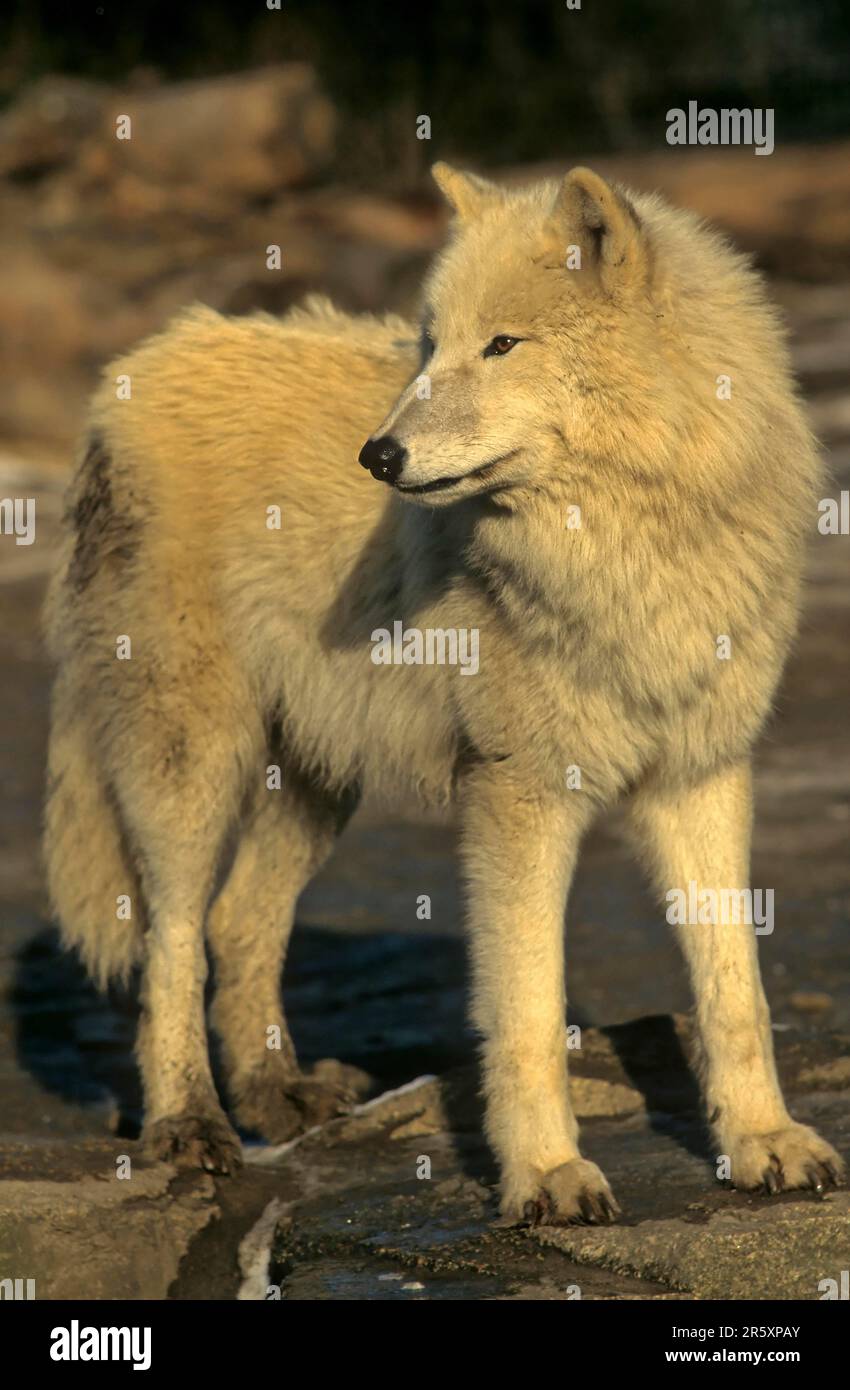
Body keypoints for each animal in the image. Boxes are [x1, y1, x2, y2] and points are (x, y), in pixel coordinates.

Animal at [43, 162, 843, 1223]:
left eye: (501, 345)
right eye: (430, 346)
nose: (377, 456)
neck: (628, 549)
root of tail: (133, 368)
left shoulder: (703, 777)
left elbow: (735, 993)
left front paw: (764, 1144)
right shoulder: (519, 794)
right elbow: (530, 1013)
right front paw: (547, 1175)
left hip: (315, 782)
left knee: (238, 922)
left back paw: (279, 1095)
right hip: (190, 765)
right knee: (172, 939)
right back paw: (190, 1124)